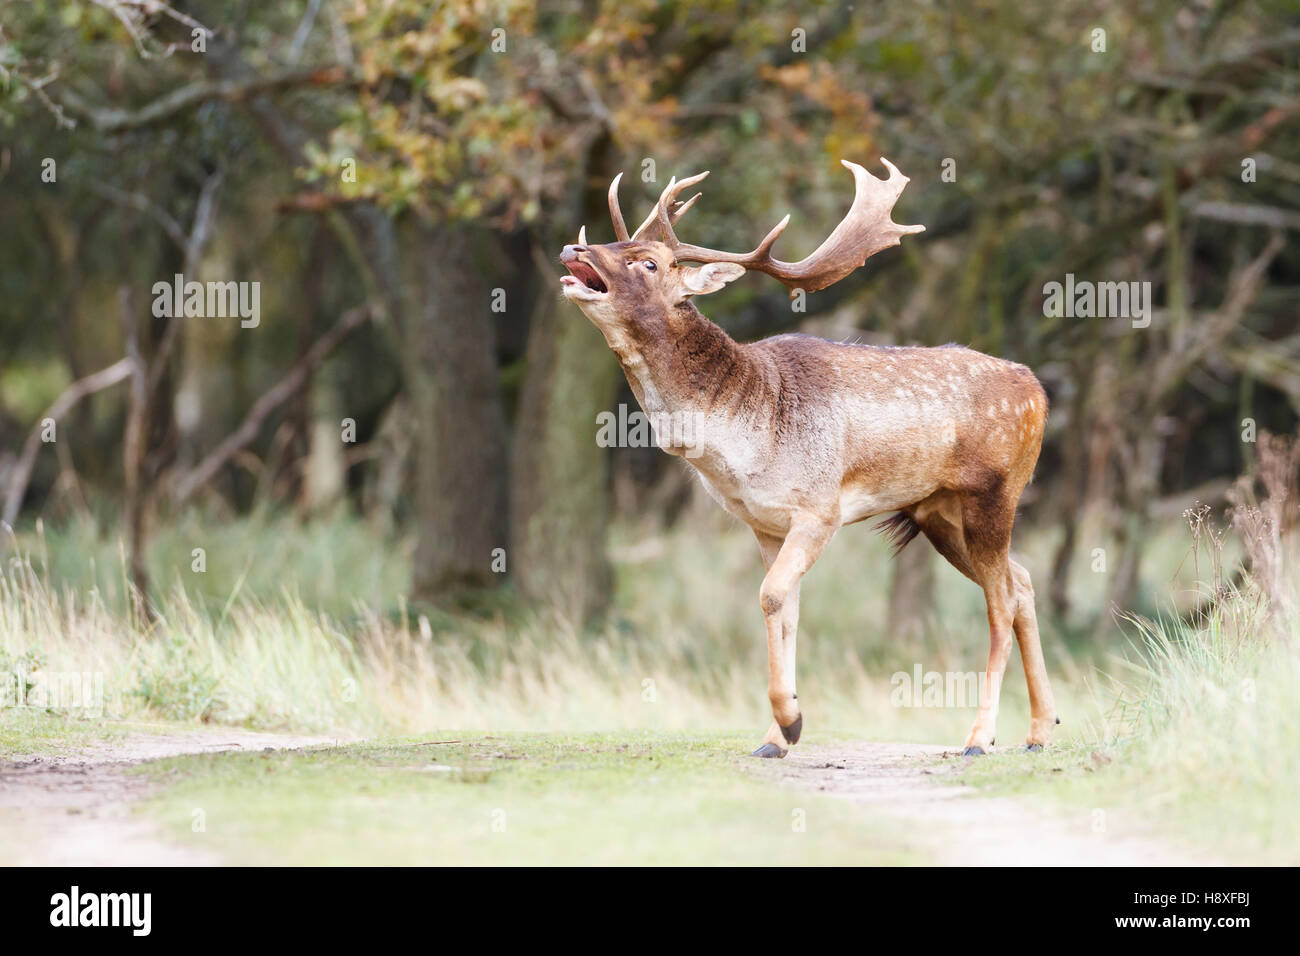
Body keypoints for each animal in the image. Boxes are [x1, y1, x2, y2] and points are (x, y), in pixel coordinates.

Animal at [559, 158, 1059, 759]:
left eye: (650, 262)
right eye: (614, 241)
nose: (574, 249)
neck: (744, 439)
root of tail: (1039, 390)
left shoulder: (821, 509)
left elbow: (771, 596)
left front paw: (791, 723)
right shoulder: (764, 524)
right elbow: (787, 610)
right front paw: (775, 737)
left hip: (996, 492)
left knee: (1000, 600)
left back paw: (980, 738)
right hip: (939, 513)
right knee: (1021, 581)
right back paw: (1040, 730)